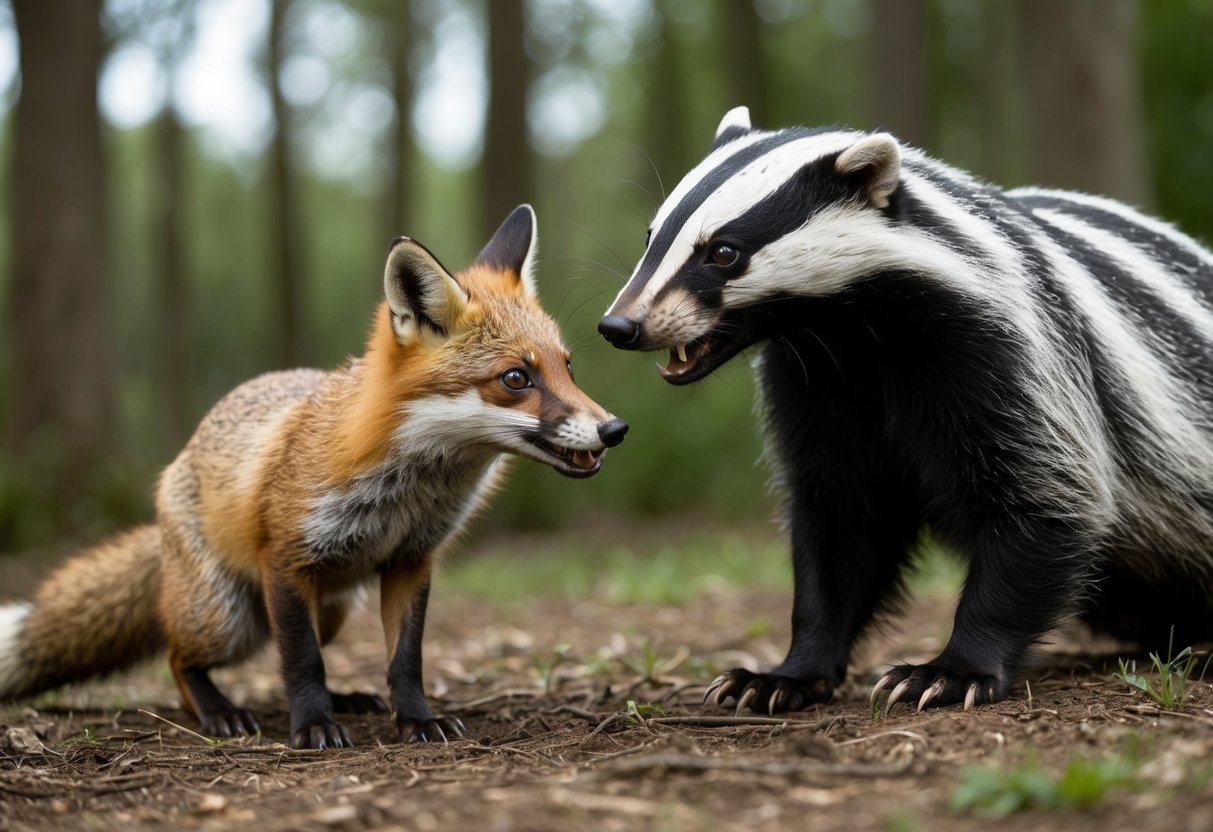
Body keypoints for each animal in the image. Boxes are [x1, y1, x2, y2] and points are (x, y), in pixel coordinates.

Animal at [0, 205, 628, 749]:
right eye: (516, 378)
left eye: (567, 367)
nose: (615, 428)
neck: (408, 492)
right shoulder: (285, 560)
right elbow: (302, 663)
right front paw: (313, 728)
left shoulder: (412, 561)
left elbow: (405, 660)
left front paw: (416, 720)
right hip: (226, 619)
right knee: (181, 661)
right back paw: (220, 712)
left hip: (331, 610)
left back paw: (347, 698)